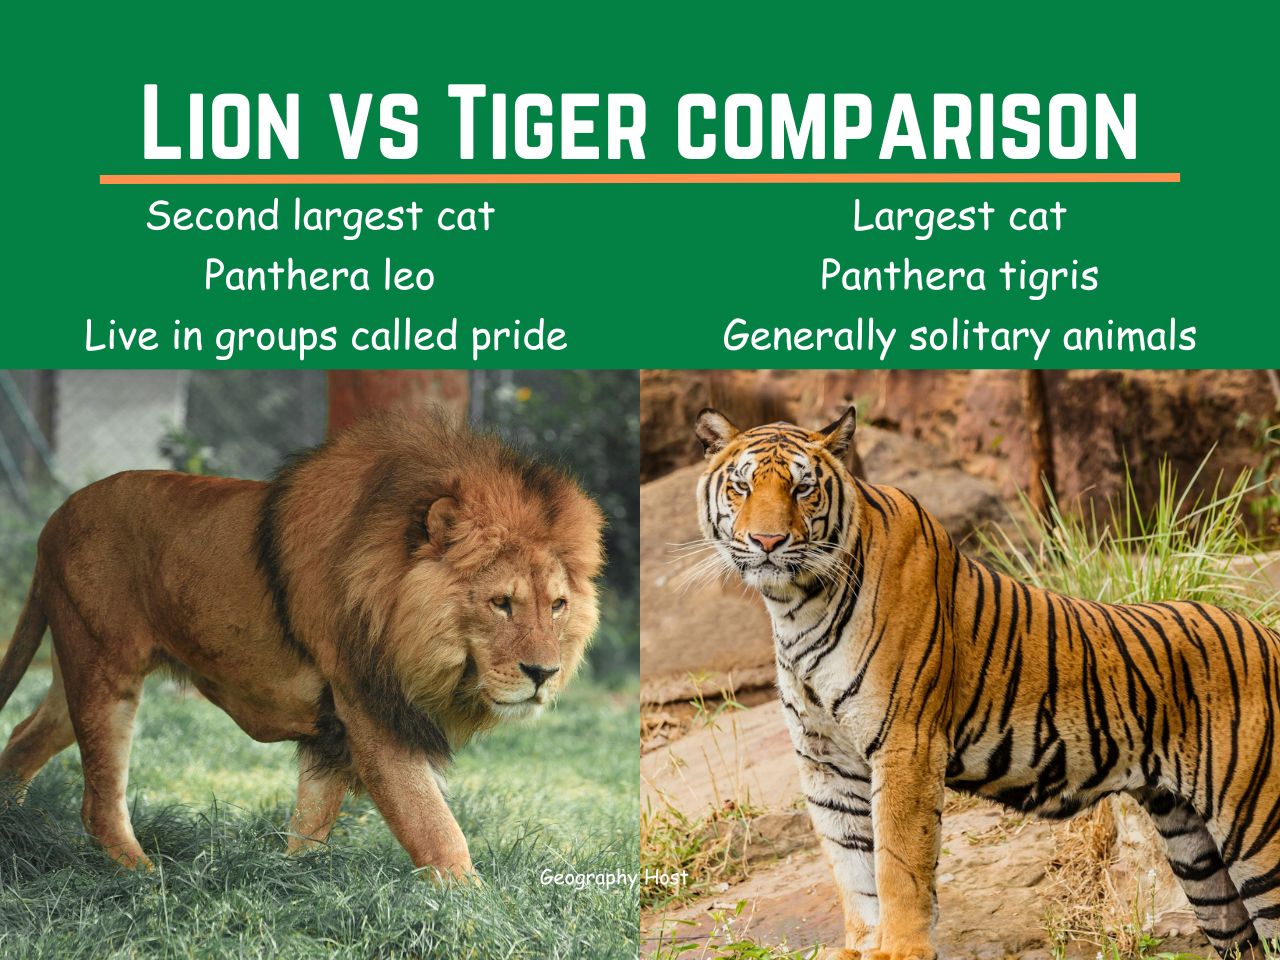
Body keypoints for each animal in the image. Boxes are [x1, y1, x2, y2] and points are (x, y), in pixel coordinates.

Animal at [0, 408, 604, 877]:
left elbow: (311, 823)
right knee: (99, 806)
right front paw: (473, 909)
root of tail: (53, 520)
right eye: (501, 603)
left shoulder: (333, 728)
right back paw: (149, 879)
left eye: (557, 605)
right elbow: (434, 828)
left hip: (78, 672)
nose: (544, 674)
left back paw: (13, 829)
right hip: (106, 670)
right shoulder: (371, 712)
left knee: (24, 738)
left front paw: (290, 881)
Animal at [693, 405, 1280, 960]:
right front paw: (862, 945)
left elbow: (896, 862)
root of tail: (1267, 635)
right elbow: (852, 868)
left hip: (1258, 831)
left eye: (802, 488)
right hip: (1196, 854)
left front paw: (901, 949)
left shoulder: (905, 744)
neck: (795, 606)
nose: (768, 540)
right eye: (742, 486)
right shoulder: (825, 759)